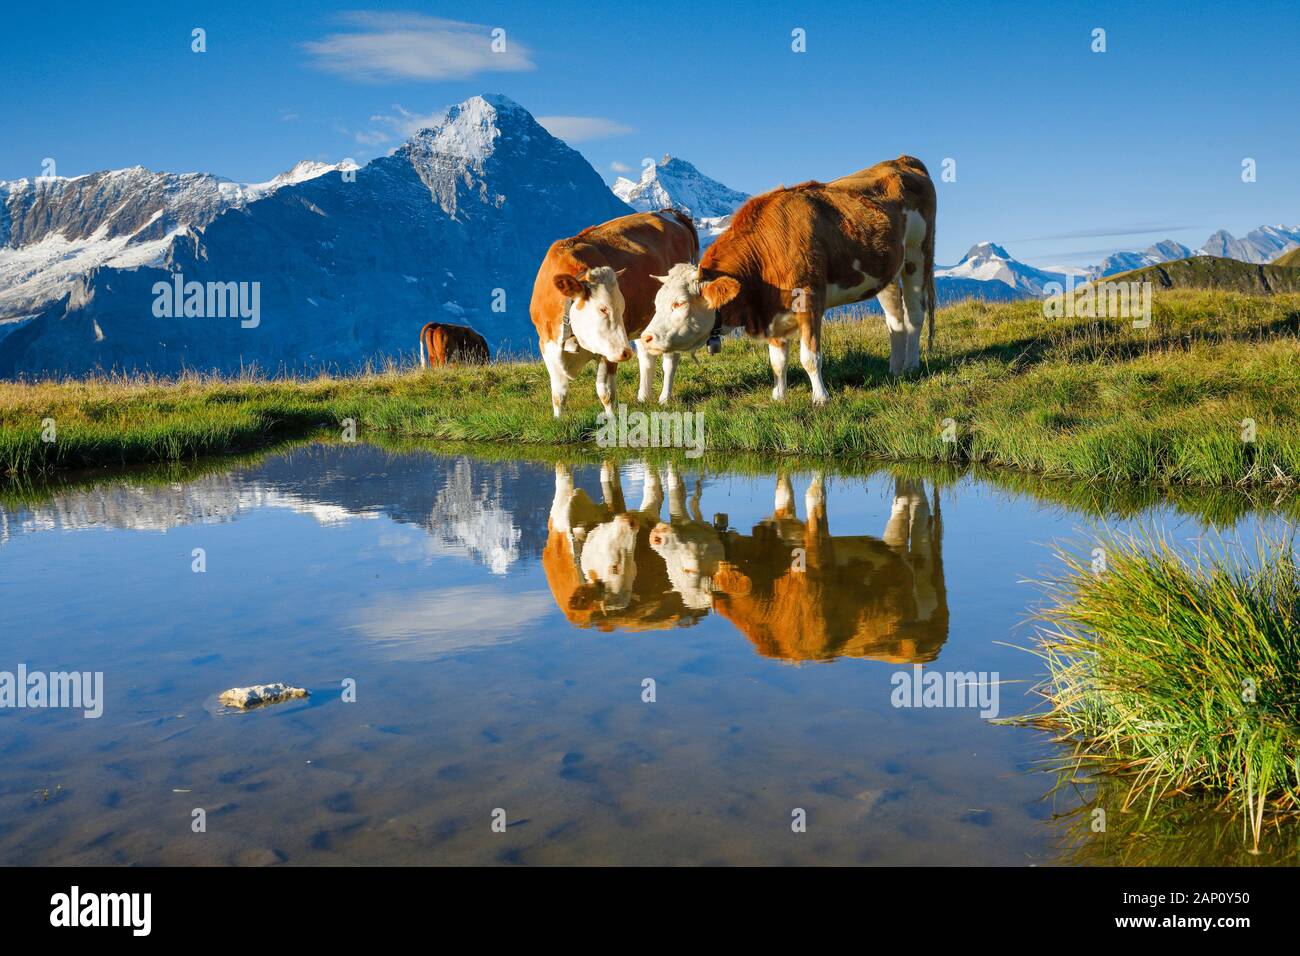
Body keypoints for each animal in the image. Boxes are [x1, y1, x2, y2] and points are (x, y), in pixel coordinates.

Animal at [530, 210, 699, 418]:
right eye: (603, 308)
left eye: (622, 307)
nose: (625, 353)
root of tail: (668, 213)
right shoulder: (547, 344)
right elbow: (558, 394)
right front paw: (558, 420)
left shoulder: (610, 350)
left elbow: (605, 393)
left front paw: (612, 419)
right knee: (646, 356)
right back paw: (643, 397)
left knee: (670, 360)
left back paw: (664, 398)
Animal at [638, 156, 937, 405]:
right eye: (655, 303)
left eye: (679, 304)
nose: (646, 338)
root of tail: (900, 160)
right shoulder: (771, 312)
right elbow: (778, 361)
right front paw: (779, 396)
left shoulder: (809, 301)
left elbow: (810, 358)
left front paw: (820, 398)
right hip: (886, 272)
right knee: (895, 320)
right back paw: (895, 370)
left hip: (918, 254)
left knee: (914, 314)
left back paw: (912, 366)